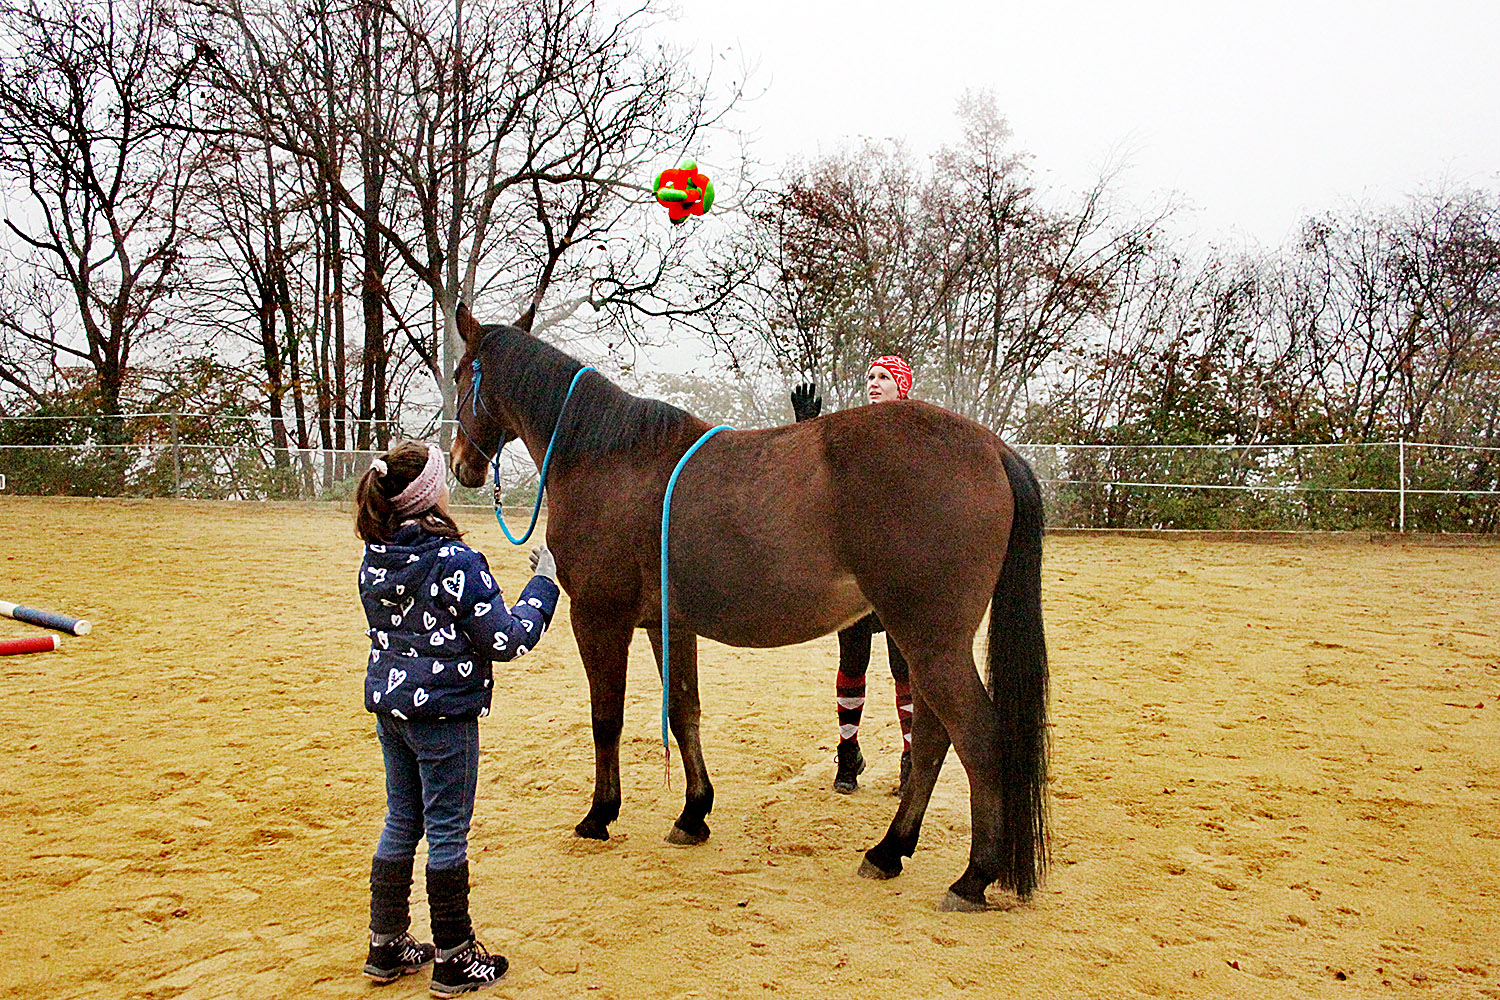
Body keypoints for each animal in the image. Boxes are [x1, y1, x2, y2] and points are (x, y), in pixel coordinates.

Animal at [448, 306, 1050, 910]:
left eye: (458, 374)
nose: (459, 466)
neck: (609, 458)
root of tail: (993, 450)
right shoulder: (668, 626)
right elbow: (683, 711)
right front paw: (693, 814)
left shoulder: (599, 617)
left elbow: (606, 719)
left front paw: (600, 815)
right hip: (924, 642)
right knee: (930, 739)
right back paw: (889, 851)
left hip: (929, 641)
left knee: (975, 738)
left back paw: (971, 877)